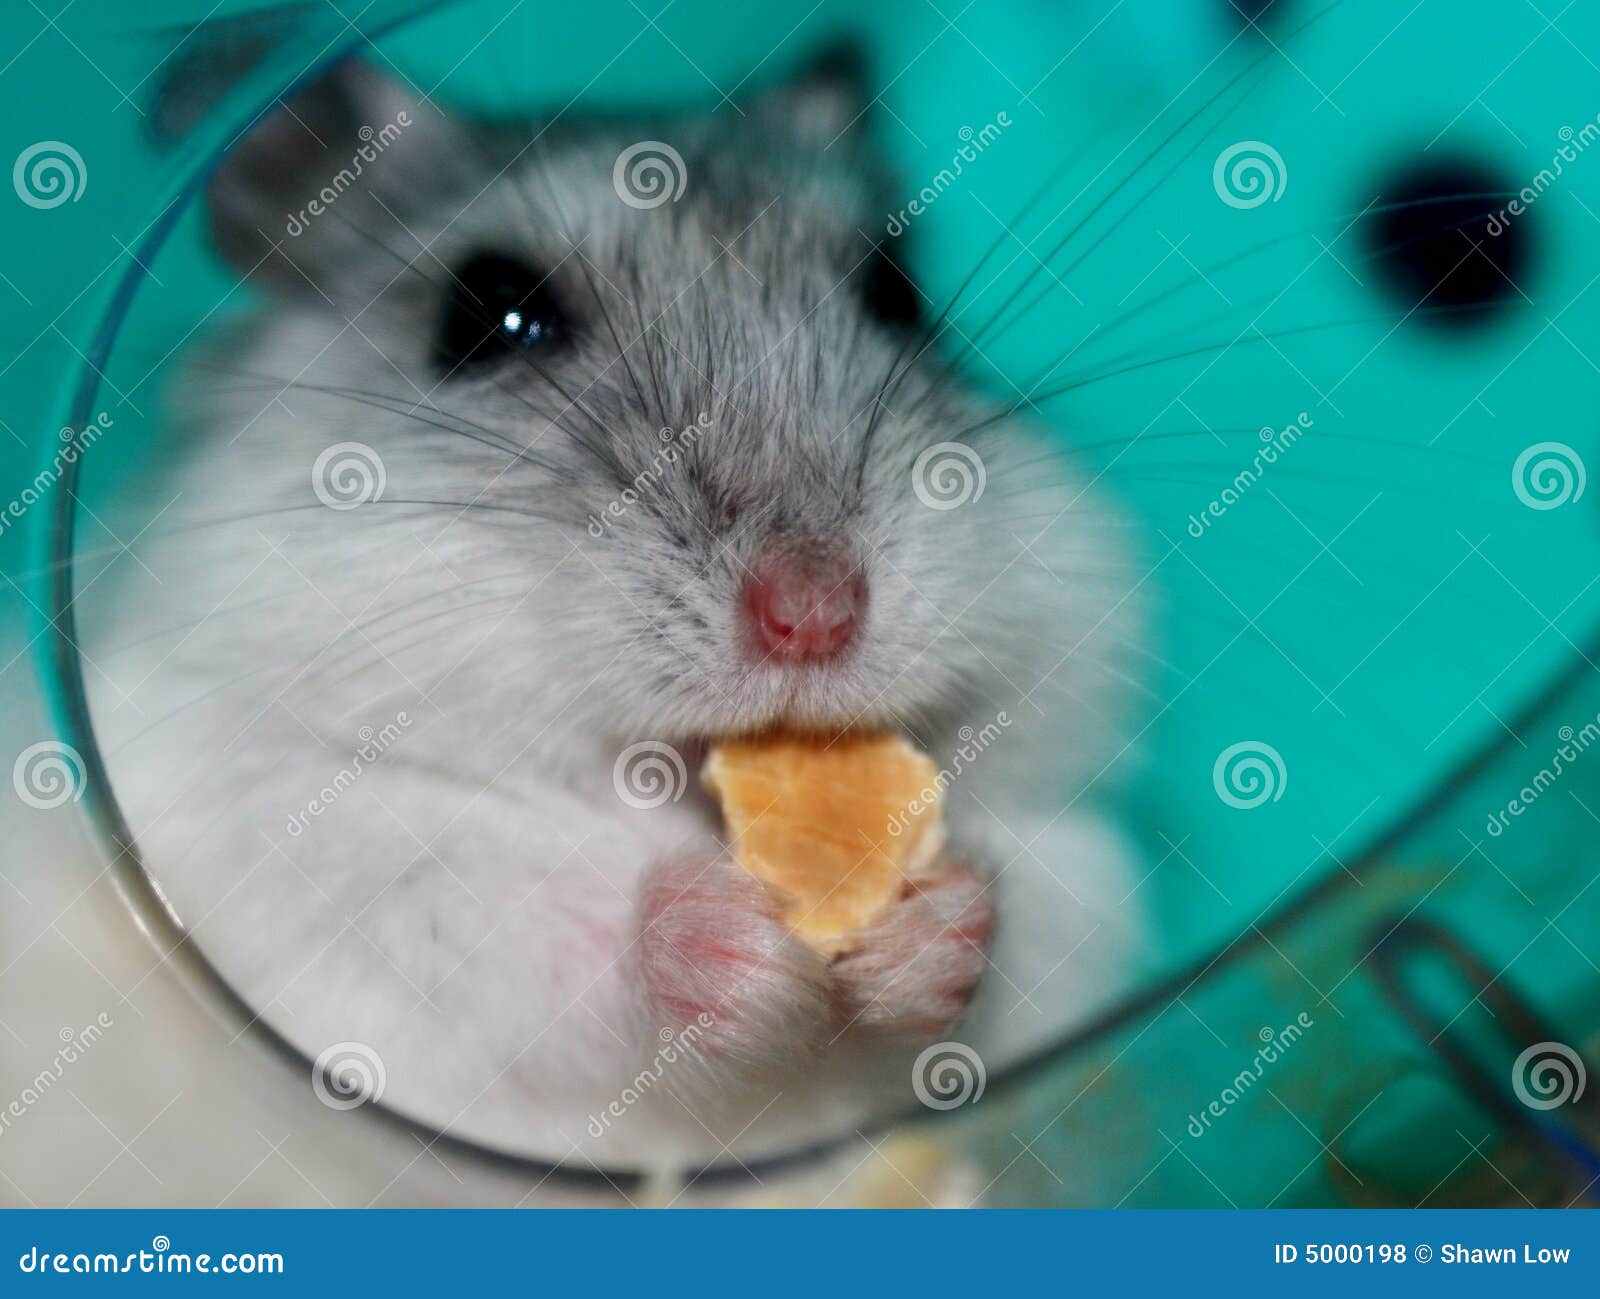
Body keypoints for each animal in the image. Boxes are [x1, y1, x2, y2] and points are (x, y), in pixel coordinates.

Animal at [80, 48, 1148, 1170]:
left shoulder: (1086, 864)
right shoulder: (273, 826)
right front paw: (737, 951)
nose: (812, 615)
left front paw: (931, 926)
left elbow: (1018, 924)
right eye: (487, 313)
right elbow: (515, 915)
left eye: (898, 292)